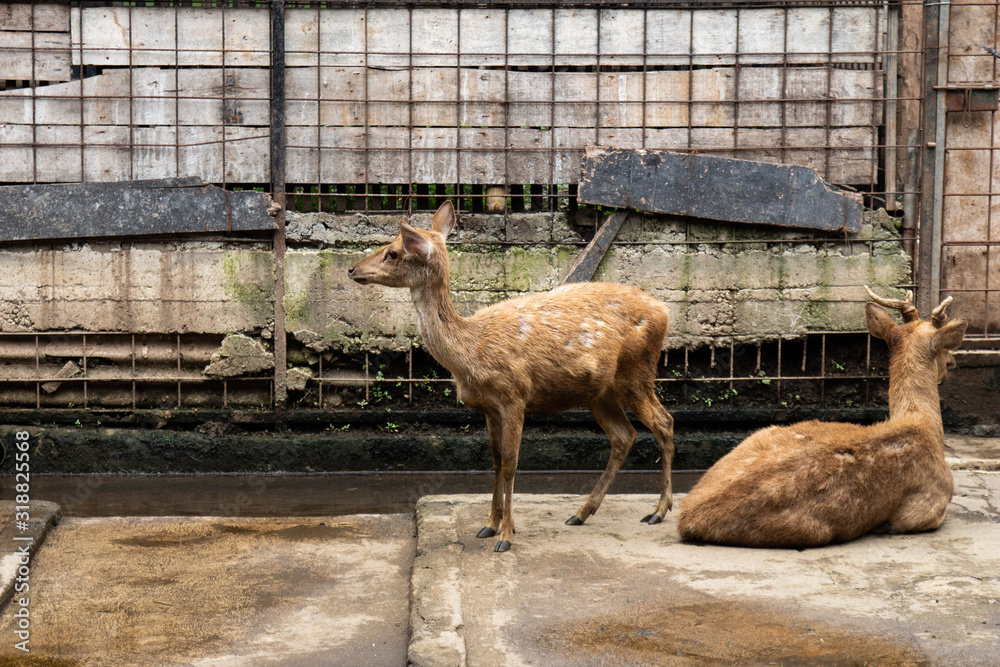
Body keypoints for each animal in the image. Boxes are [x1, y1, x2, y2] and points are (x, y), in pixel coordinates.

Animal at [348, 200, 675, 552]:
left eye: (393, 252)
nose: (352, 269)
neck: (471, 353)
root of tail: (665, 311)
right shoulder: (489, 407)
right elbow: (494, 462)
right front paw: (489, 525)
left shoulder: (515, 396)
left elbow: (510, 464)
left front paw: (505, 535)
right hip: (601, 391)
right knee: (624, 434)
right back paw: (581, 513)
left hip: (636, 372)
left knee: (664, 422)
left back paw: (659, 511)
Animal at [677, 287, 967, 549]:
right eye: (944, 350)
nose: (953, 363)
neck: (922, 424)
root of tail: (688, 518)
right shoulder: (927, 506)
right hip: (812, 530)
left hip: (761, 432)